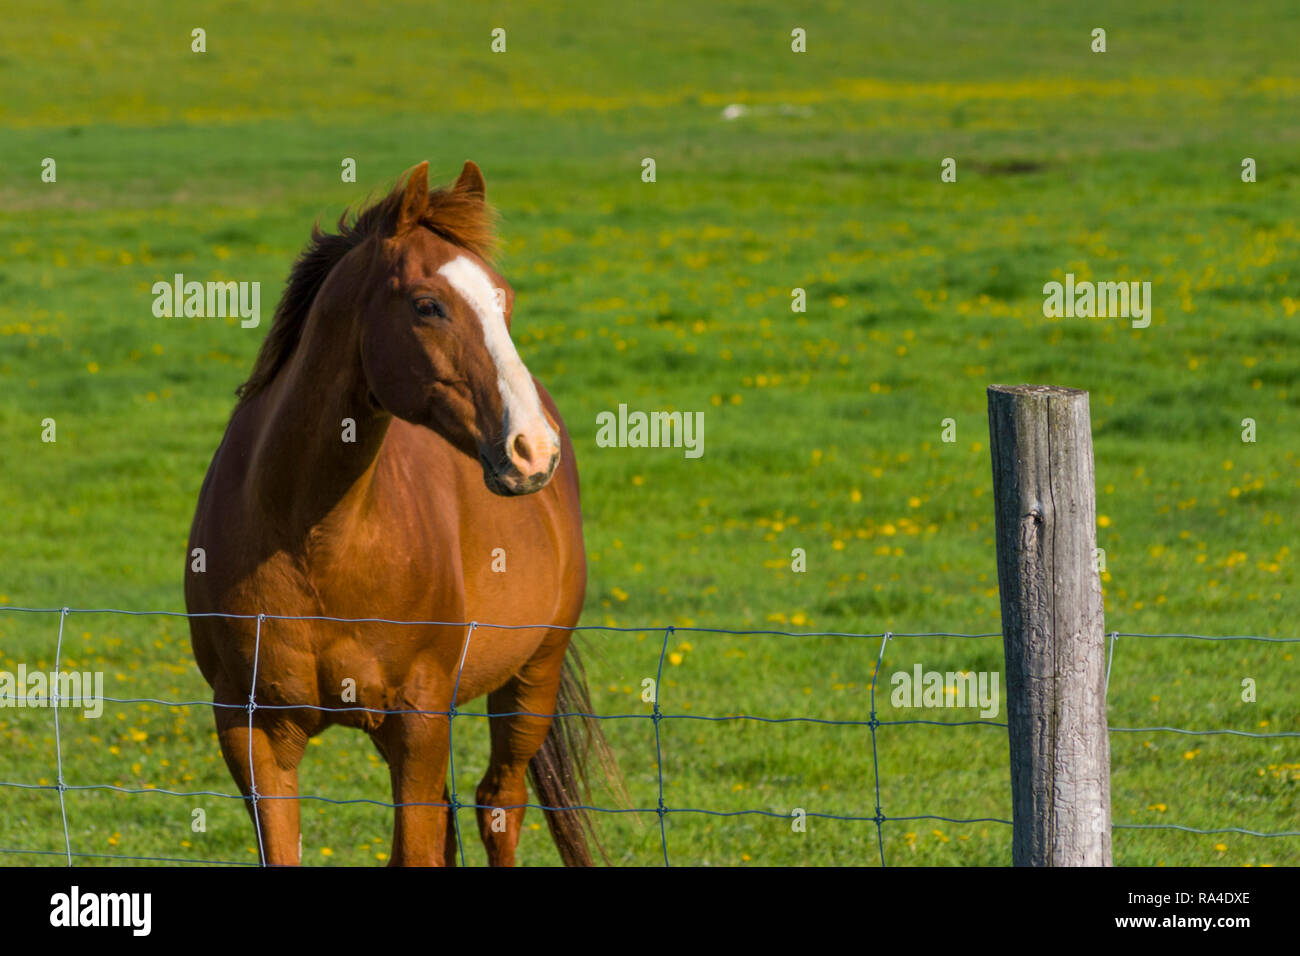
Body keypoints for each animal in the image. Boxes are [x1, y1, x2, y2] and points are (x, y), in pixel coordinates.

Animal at [185, 161, 617, 866]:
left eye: (503, 300)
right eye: (427, 305)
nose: (533, 448)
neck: (312, 540)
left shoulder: (417, 720)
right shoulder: (253, 732)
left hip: (532, 678)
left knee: (499, 804)